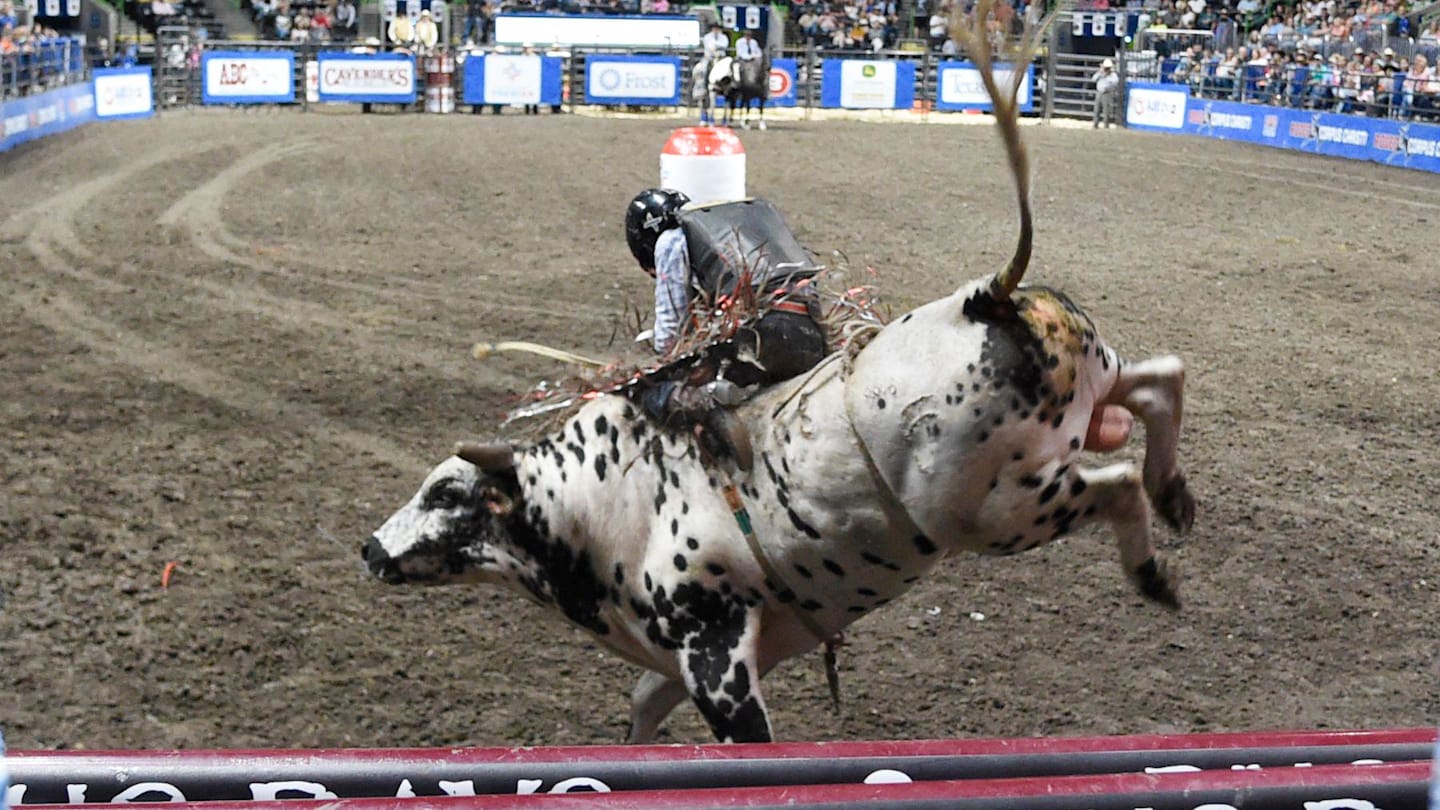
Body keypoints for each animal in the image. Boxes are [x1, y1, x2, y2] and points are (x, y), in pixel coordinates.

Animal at [361, 5, 1194, 745]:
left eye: (446, 494)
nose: (370, 549)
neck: (596, 503)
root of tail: (982, 298)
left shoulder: (714, 649)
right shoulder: (678, 663)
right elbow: (639, 709)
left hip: (1003, 507)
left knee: (1116, 482)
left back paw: (1153, 569)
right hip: (1085, 384)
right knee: (1161, 379)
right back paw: (1175, 496)